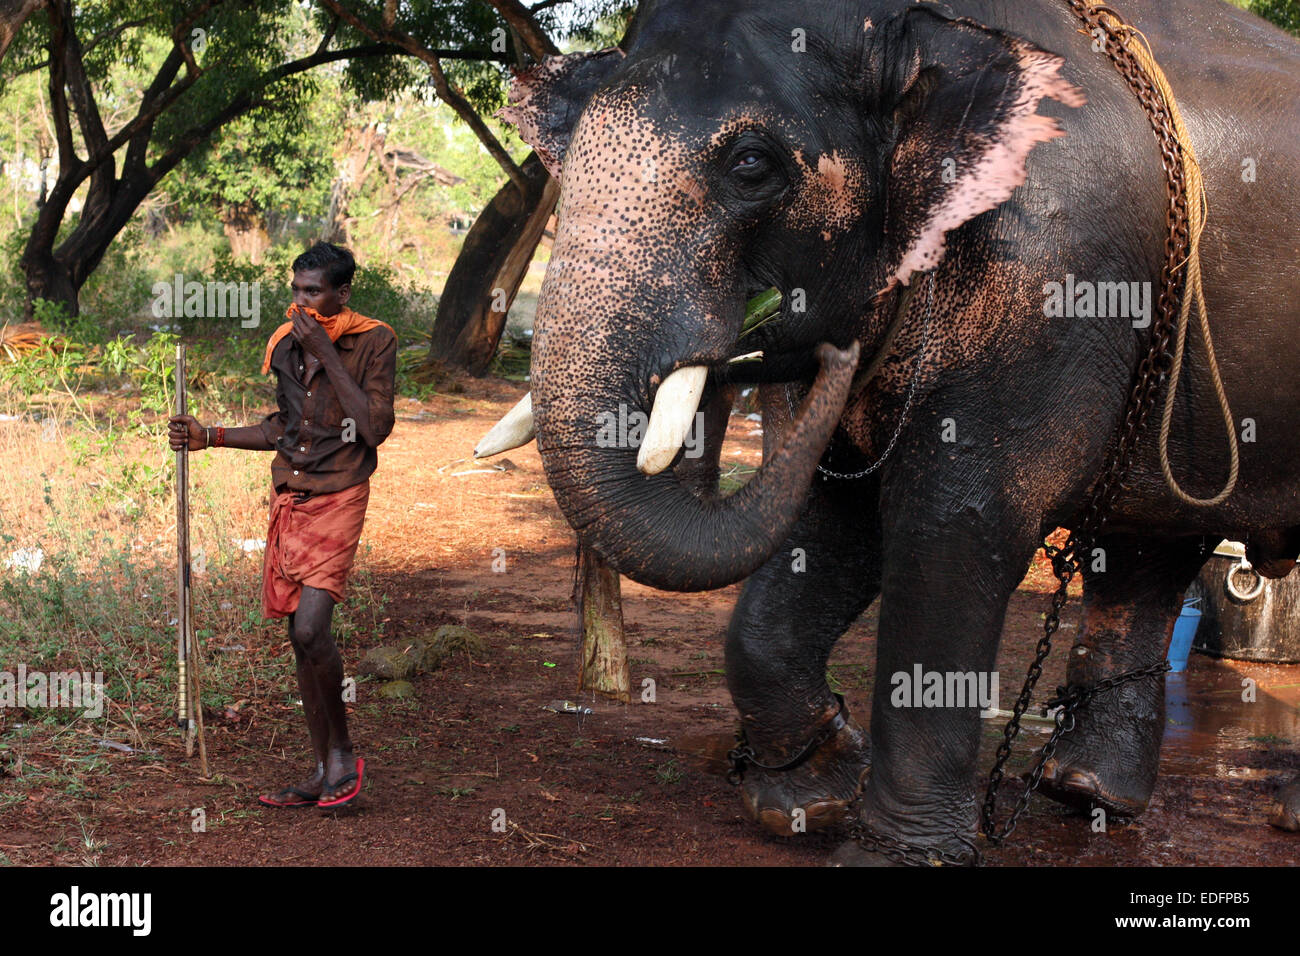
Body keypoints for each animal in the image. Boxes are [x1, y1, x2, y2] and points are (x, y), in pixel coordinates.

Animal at [484, 0, 1300, 862]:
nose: (823, 349)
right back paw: (1084, 793)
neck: (920, 29)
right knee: (1149, 549)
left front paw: (888, 853)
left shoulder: (1064, 271)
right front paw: (814, 794)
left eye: (750, 165)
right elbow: (841, 522)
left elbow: (956, 524)